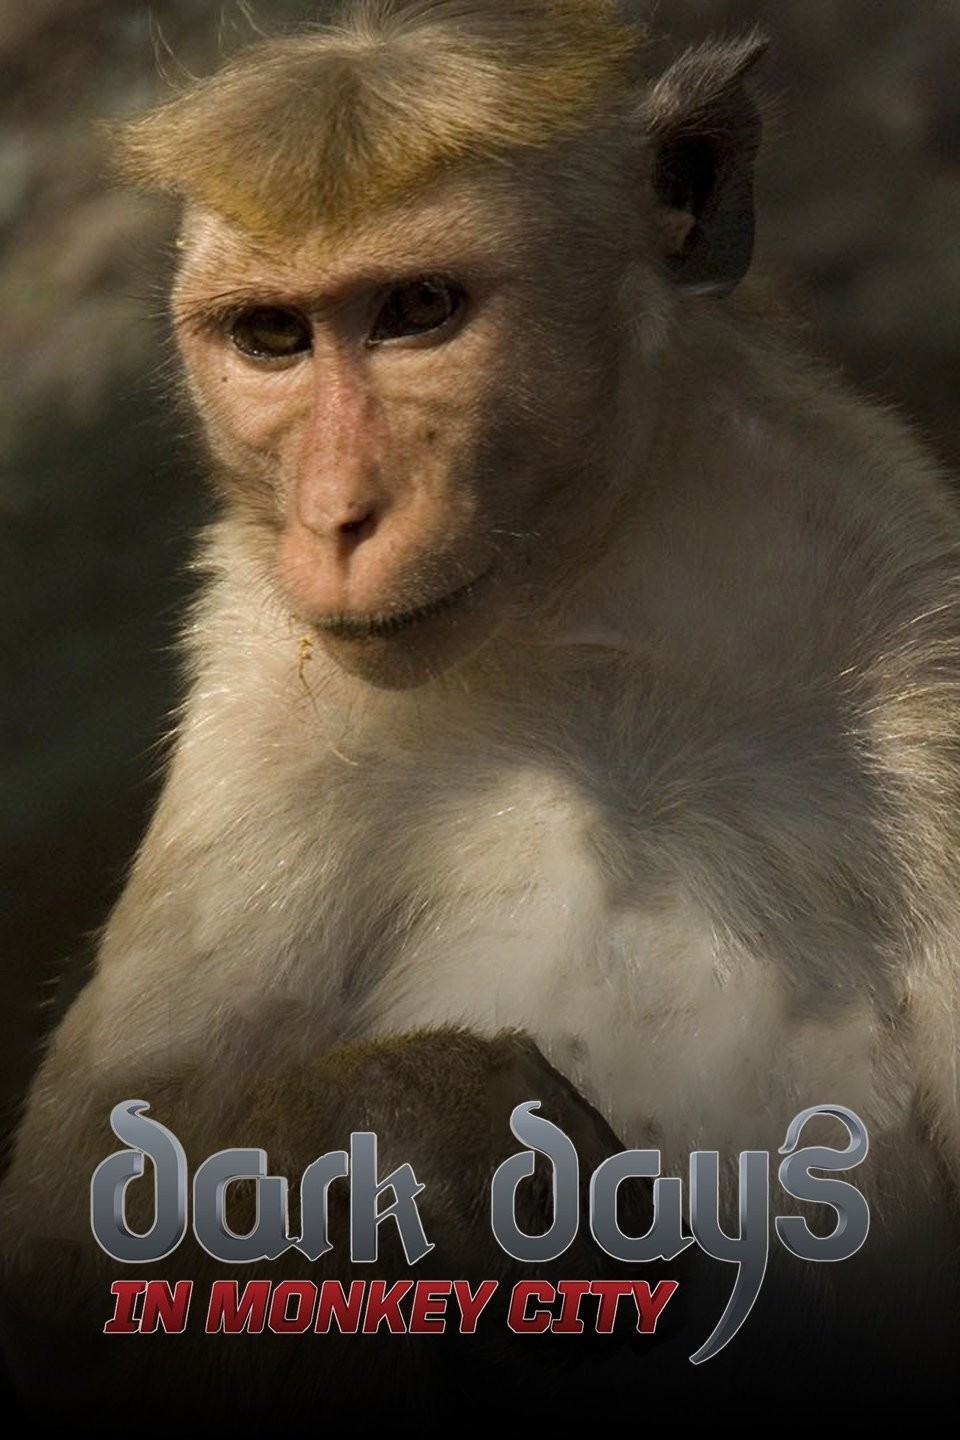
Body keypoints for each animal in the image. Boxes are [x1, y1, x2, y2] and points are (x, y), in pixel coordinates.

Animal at [2, 0, 959, 1420]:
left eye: (419, 310)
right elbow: (72, 1237)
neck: (594, 626)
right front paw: (404, 1134)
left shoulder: (921, 660)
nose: (336, 517)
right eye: (272, 337)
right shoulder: (259, 686)